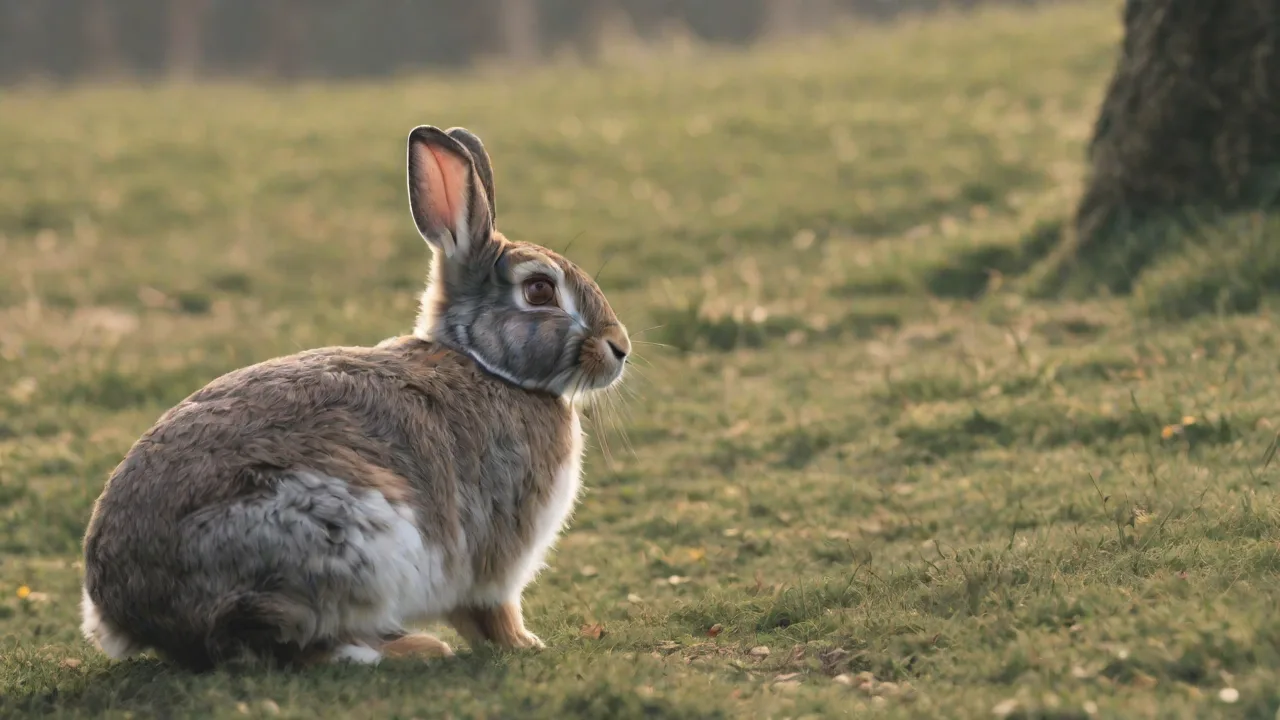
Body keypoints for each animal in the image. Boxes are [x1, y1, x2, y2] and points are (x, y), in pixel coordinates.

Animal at [79, 125, 631, 671]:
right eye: (539, 290)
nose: (620, 348)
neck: (483, 363)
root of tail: (131, 610)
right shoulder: (496, 555)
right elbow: (493, 611)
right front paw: (526, 644)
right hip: (336, 535)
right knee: (277, 643)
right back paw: (407, 649)